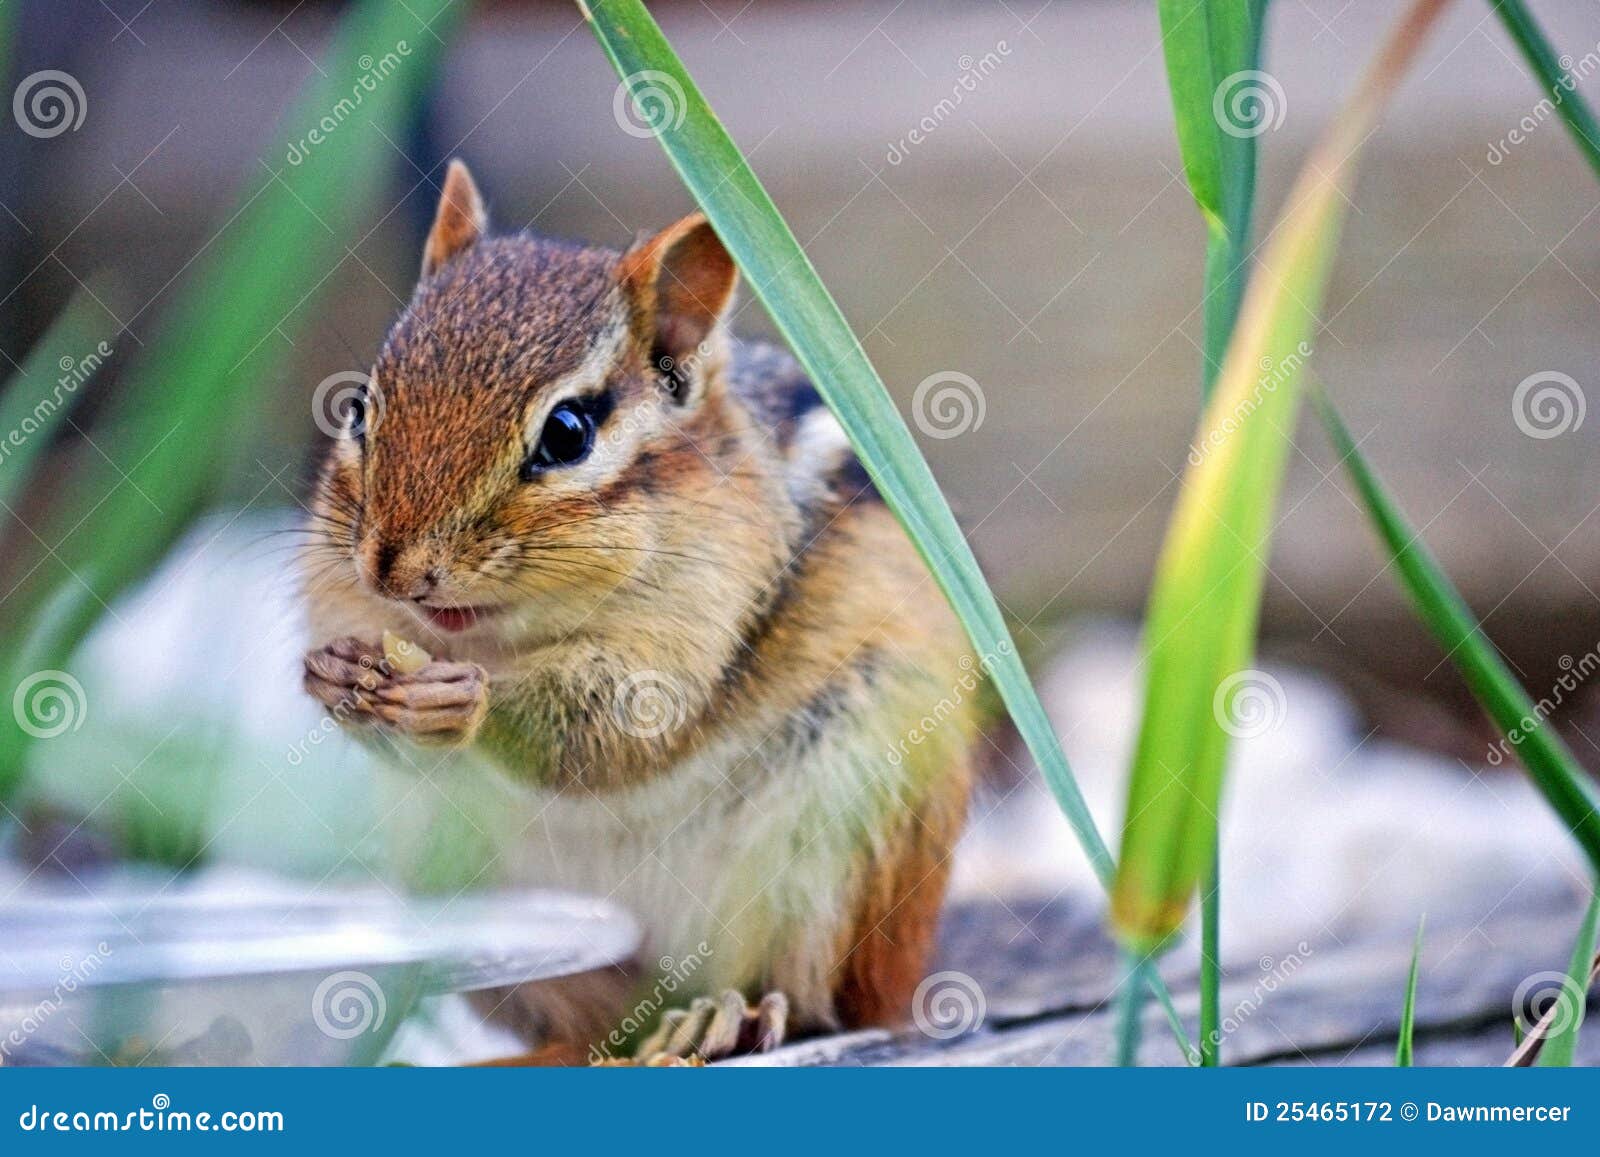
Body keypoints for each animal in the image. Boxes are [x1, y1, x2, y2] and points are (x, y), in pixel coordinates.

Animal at [300, 160, 979, 1063]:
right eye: (359, 409)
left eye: (567, 432)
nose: (393, 569)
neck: (504, 633)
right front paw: (334, 675)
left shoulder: (691, 627)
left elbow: (615, 730)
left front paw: (463, 698)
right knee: (589, 1024)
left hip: (845, 831)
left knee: (810, 999)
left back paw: (727, 1015)